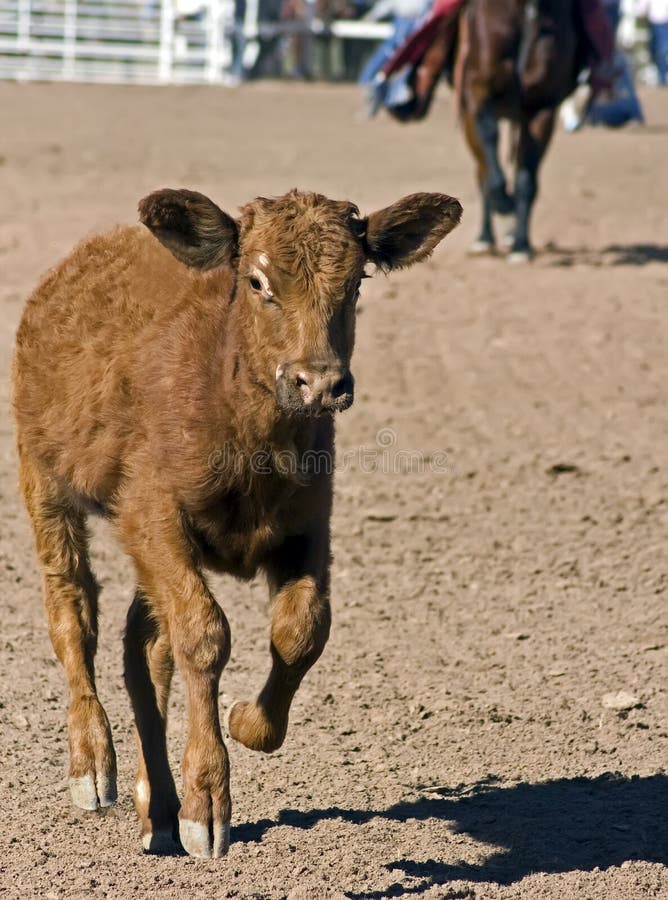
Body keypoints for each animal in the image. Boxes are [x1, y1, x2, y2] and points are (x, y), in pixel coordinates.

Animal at [12, 187, 462, 858]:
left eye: (356, 281)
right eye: (257, 280)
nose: (319, 382)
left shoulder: (309, 526)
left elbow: (303, 630)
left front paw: (249, 724)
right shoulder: (152, 514)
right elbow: (205, 636)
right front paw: (207, 805)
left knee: (144, 647)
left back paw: (156, 808)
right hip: (44, 479)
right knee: (72, 611)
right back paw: (92, 764)